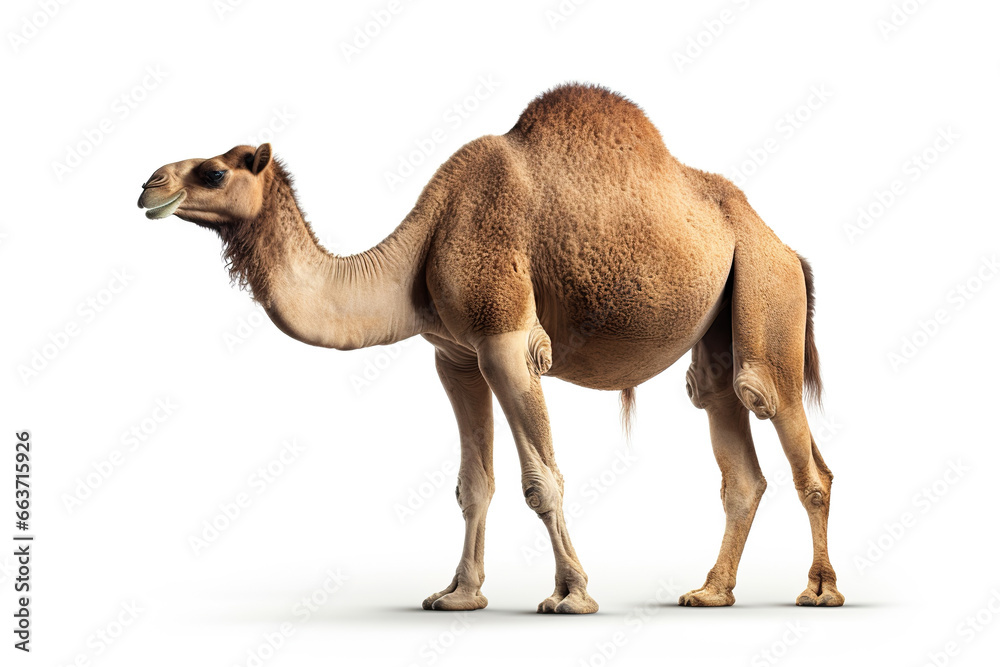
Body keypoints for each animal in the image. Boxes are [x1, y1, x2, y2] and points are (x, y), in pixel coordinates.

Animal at [137, 84, 843, 613]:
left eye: (214, 170)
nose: (148, 184)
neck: (422, 245)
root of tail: (787, 248)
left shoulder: (506, 338)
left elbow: (541, 480)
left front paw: (572, 595)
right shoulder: (455, 356)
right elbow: (473, 482)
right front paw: (459, 594)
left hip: (766, 288)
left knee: (780, 420)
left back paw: (819, 590)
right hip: (722, 318)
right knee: (730, 436)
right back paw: (711, 592)